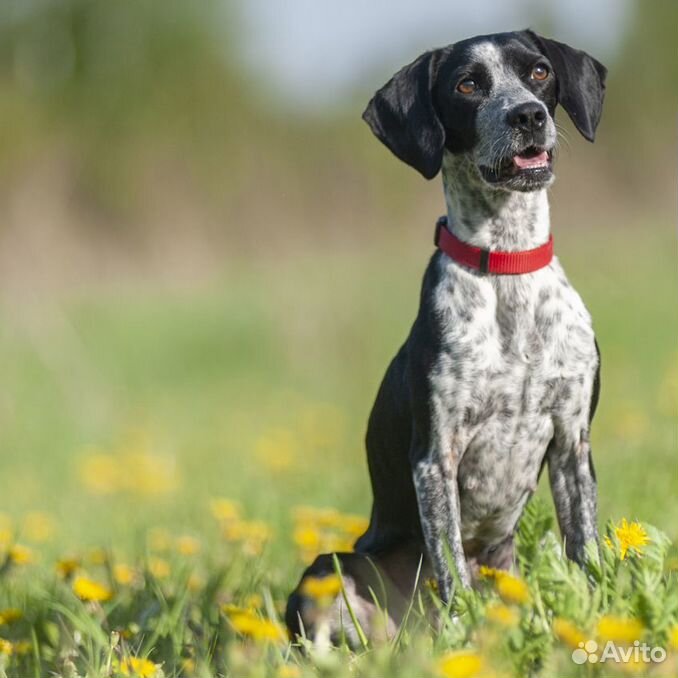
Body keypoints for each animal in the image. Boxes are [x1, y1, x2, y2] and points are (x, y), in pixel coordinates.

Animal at [286, 29, 604, 644]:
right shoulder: (436, 458)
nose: (527, 115)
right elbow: (451, 566)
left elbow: (588, 553)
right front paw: (464, 637)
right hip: (331, 568)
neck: (506, 264)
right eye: (467, 85)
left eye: (539, 72)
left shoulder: (572, 442)